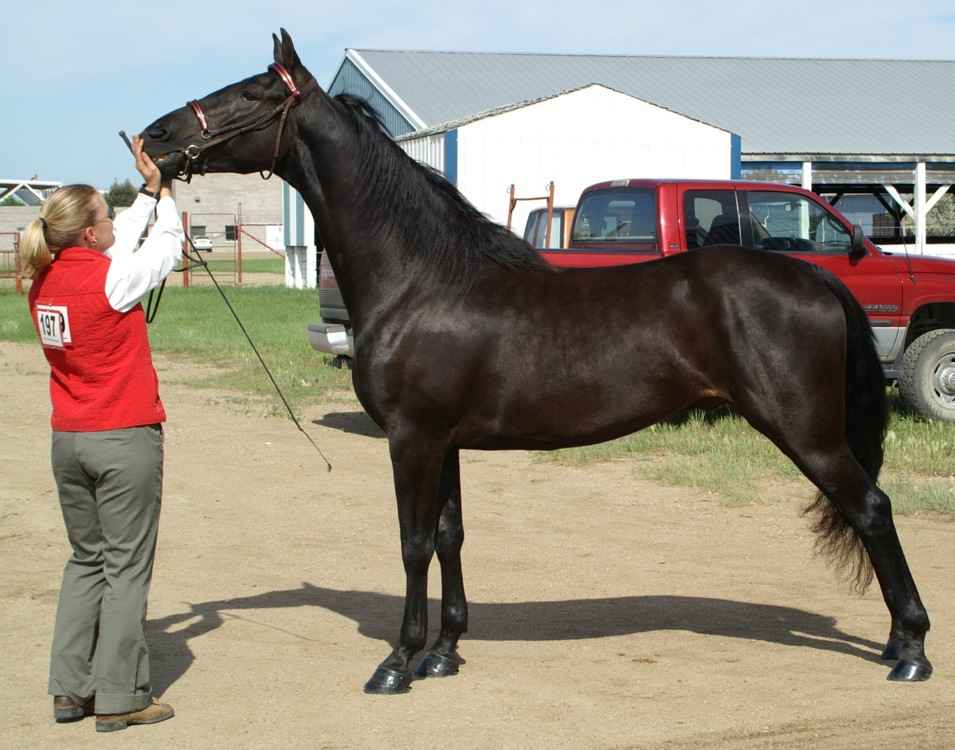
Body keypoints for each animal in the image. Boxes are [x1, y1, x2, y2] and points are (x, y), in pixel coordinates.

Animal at [140, 30, 932, 694]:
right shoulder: (444, 443)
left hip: (807, 433)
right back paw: (897, 645)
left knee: (871, 509)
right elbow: (451, 537)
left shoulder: (411, 440)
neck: (421, 277)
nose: (155, 135)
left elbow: (412, 543)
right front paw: (444, 653)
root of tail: (819, 277)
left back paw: (911, 650)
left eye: (253, 94)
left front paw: (398, 661)